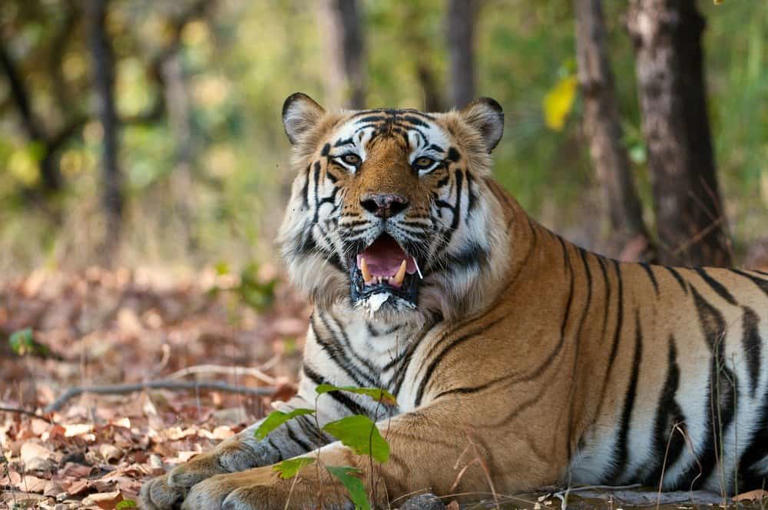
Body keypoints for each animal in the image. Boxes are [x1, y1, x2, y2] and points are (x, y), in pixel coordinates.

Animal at [141, 93, 768, 509]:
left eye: (425, 162)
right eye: (350, 159)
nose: (383, 203)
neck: (378, 325)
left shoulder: (481, 419)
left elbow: (358, 453)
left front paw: (228, 492)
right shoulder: (328, 403)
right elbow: (250, 437)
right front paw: (173, 478)